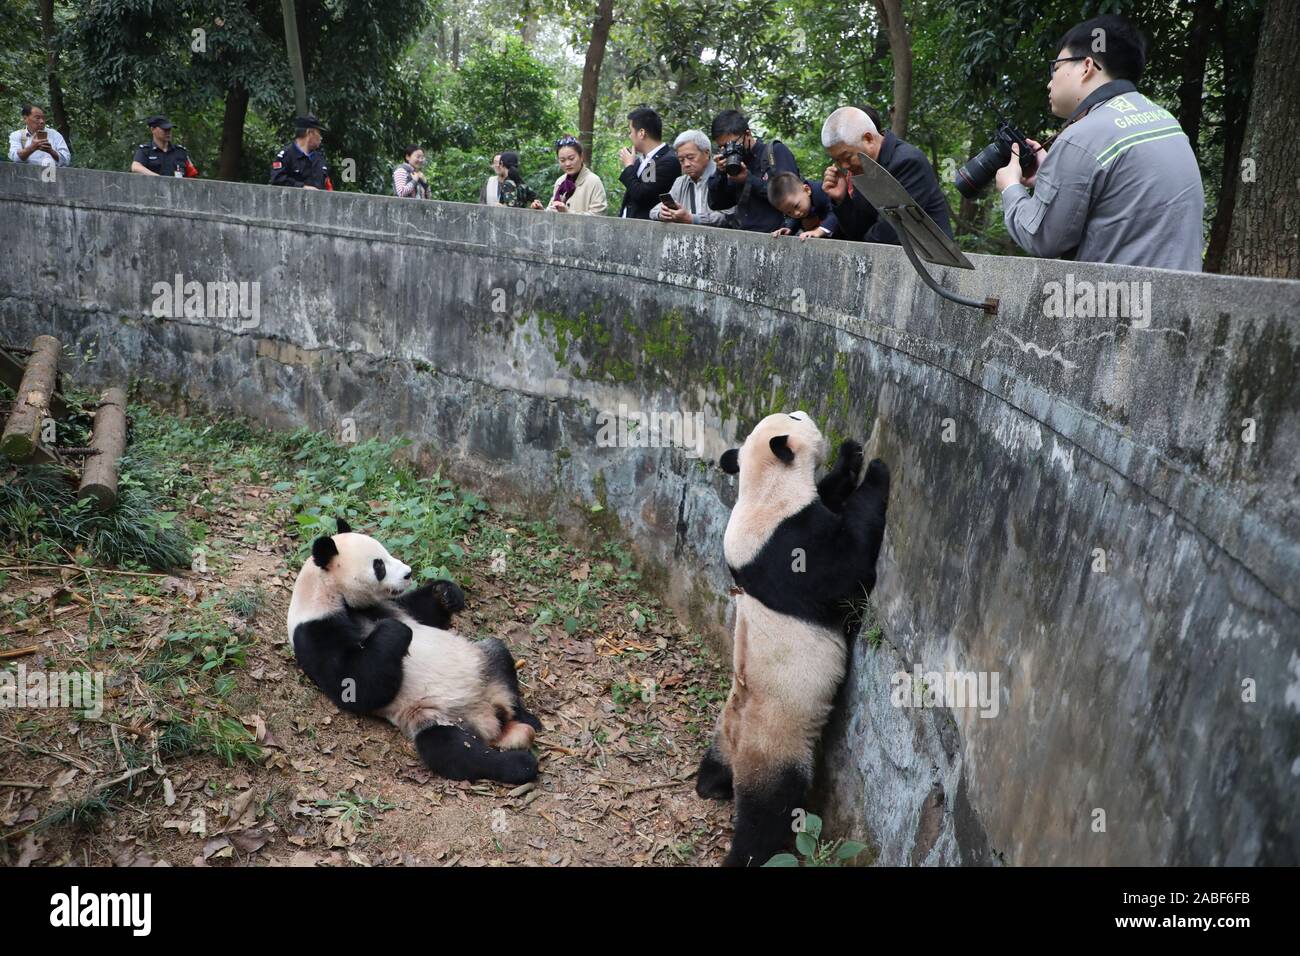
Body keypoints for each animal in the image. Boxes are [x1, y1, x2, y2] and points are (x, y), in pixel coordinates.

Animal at [286, 519, 542, 785]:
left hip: (482, 662)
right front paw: (396, 631)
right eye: (379, 565)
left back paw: (527, 718)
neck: (329, 592)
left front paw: (447, 593)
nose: (408, 573)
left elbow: (421, 610)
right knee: (452, 750)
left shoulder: (387, 606)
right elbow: (355, 685)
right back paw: (519, 765)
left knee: (501, 657)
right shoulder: (315, 631)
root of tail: (492, 718)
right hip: (432, 714)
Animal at [695, 411, 889, 866]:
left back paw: (709, 783)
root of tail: (738, 750)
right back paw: (747, 854)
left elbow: (829, 494)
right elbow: (850, 565)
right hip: (777, 748)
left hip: (725, 728)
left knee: (714, 764)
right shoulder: (791, 547)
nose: (804, 413)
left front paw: (849, 456)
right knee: (769, 813)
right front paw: (875, 471)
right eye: (798, 416)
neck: (762, 491)